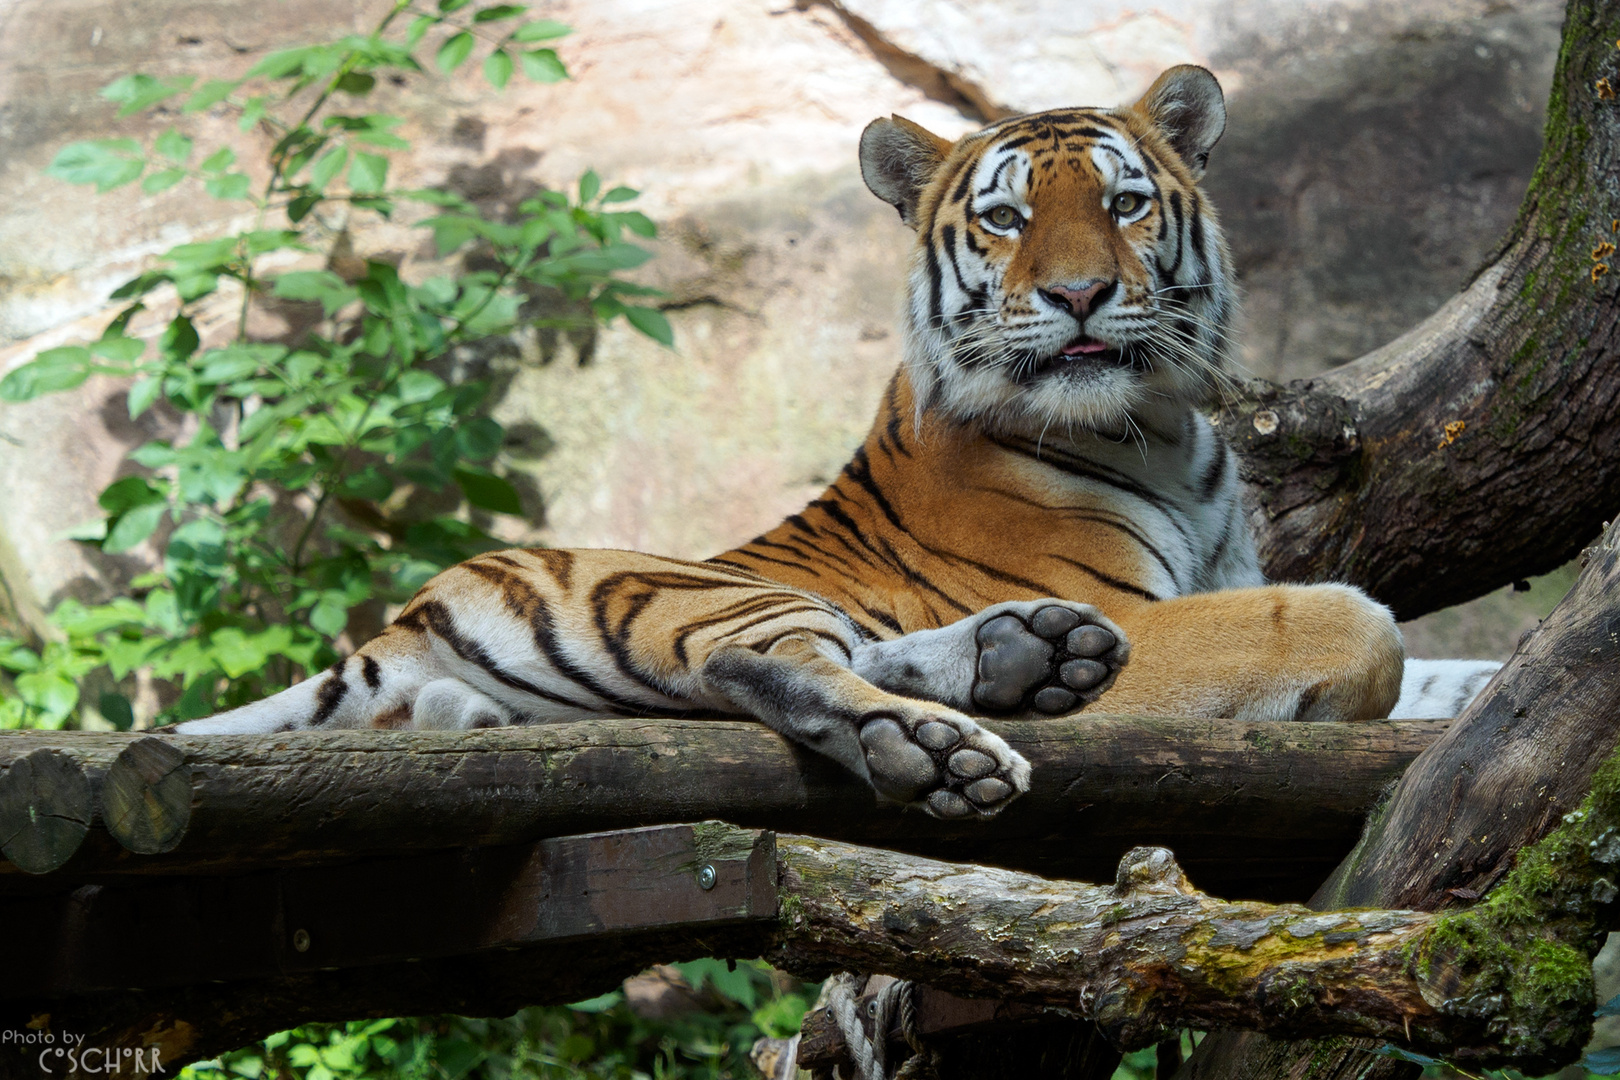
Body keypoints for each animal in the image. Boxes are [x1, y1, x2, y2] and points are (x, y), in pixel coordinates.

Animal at [176, 65, 1499, 819]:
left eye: (1125, 204)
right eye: (1007, 218)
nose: (1077, 293)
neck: (1171, 433)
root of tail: (412, 612)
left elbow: (1450, 675)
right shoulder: (1160, 620)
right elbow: (1359, 623)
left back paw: (1027, 660)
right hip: (689, 592)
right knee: (763, 667)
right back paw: (944, 738)